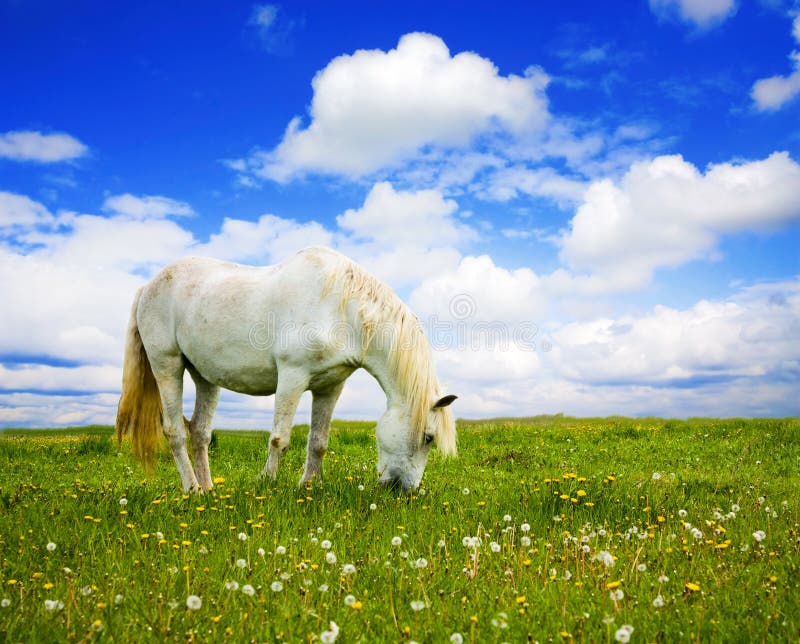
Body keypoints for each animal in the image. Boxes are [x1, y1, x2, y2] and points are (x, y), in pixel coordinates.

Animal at [115, 246, 457, 493]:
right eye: (428, 437)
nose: (404, 491)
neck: (340, 309)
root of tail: (148, 286)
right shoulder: (292, 378)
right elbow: (279, 438)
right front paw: (266, 484)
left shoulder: (329, 387)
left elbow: (319, 442)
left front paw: (309, 486)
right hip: (167, 365)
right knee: (175, 431)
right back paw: (192, 489)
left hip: (204, 376)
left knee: (199, 432)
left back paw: (210, 490)